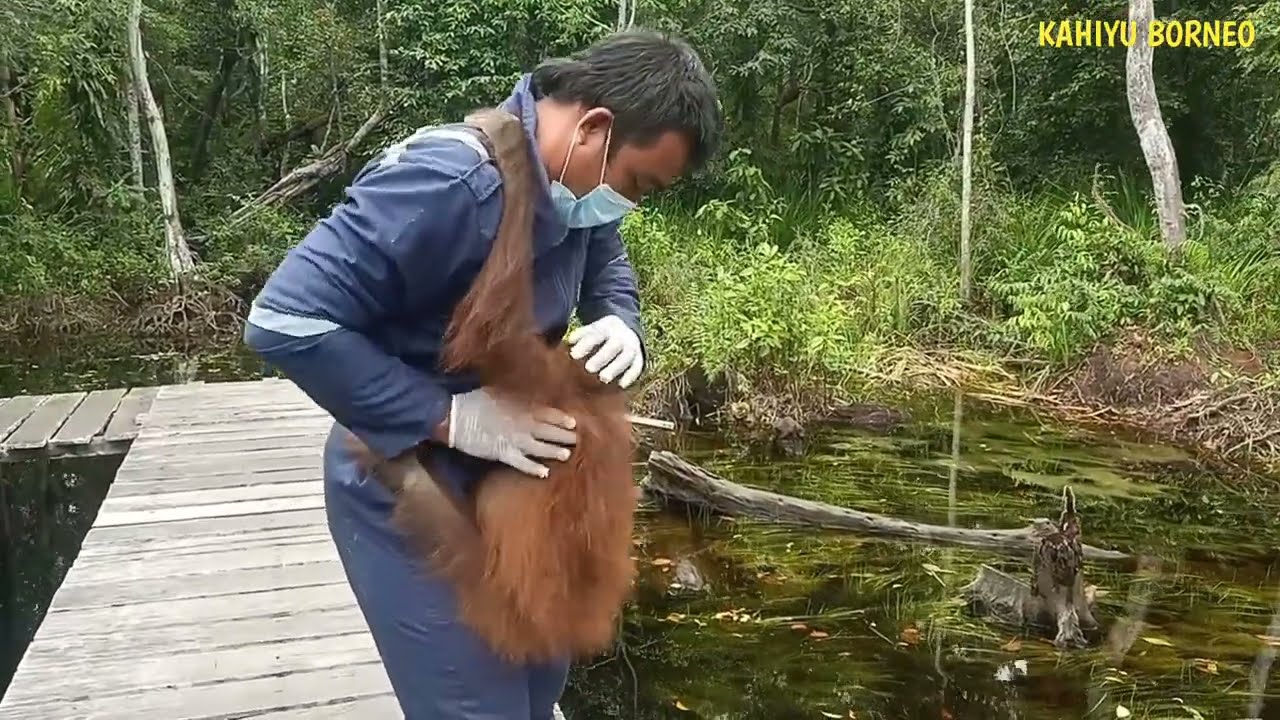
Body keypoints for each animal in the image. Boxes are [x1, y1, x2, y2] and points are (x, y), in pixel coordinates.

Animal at [344, 107, 639, 666]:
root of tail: (560, 630)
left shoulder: (544, 379)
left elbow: (494, 332)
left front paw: (505, 138)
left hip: (491, 596)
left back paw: (386, 458)